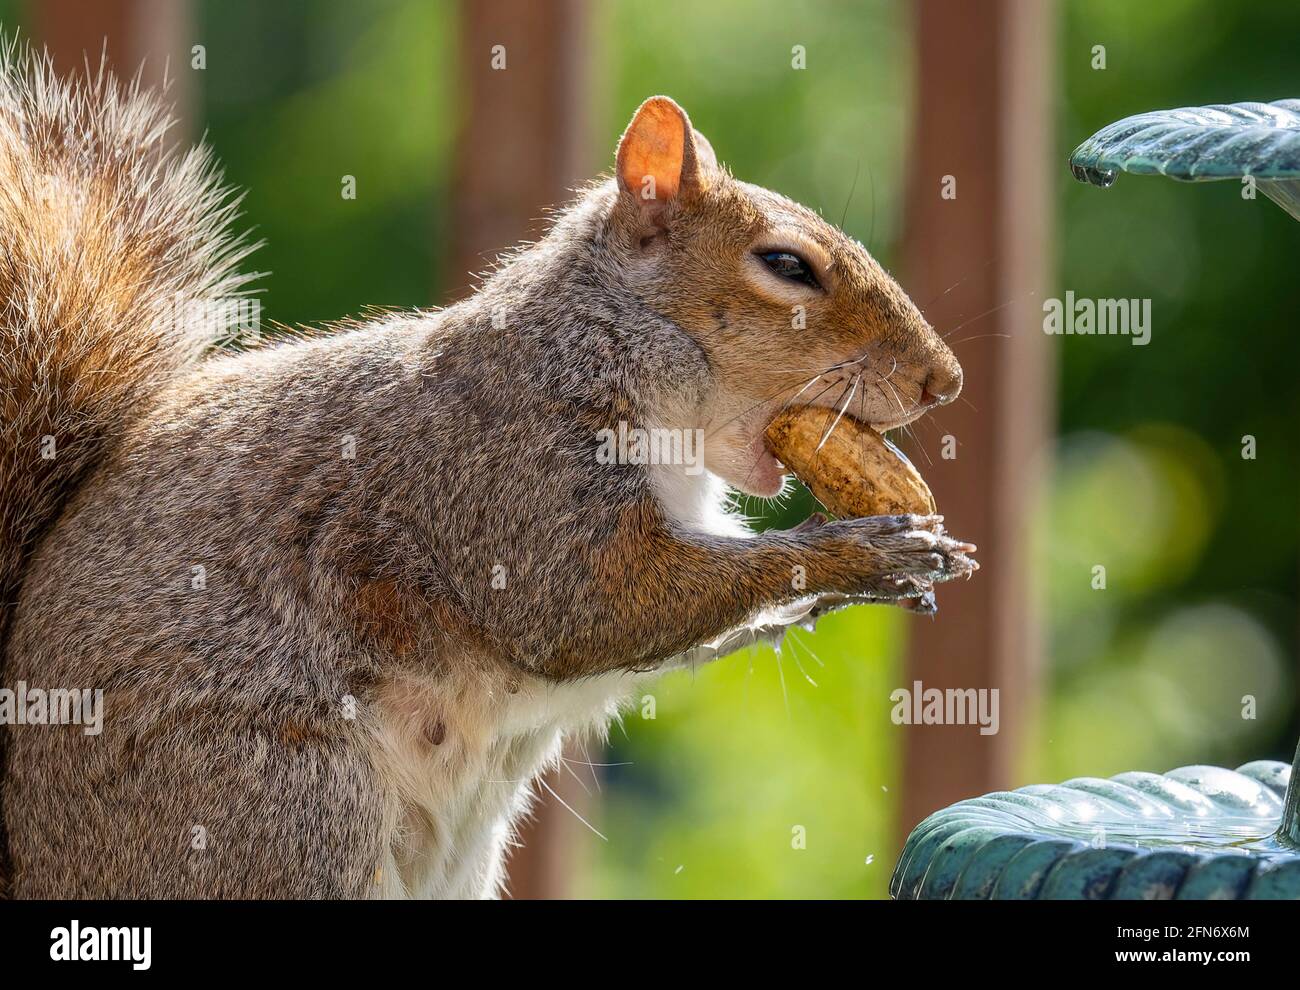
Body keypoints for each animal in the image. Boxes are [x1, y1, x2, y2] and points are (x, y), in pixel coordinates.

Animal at [0, 46, 974, 898]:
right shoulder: (504, 477)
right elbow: (595, 606)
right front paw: (863, 550)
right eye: (785, 265)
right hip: (282, 807)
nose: (944, 381)